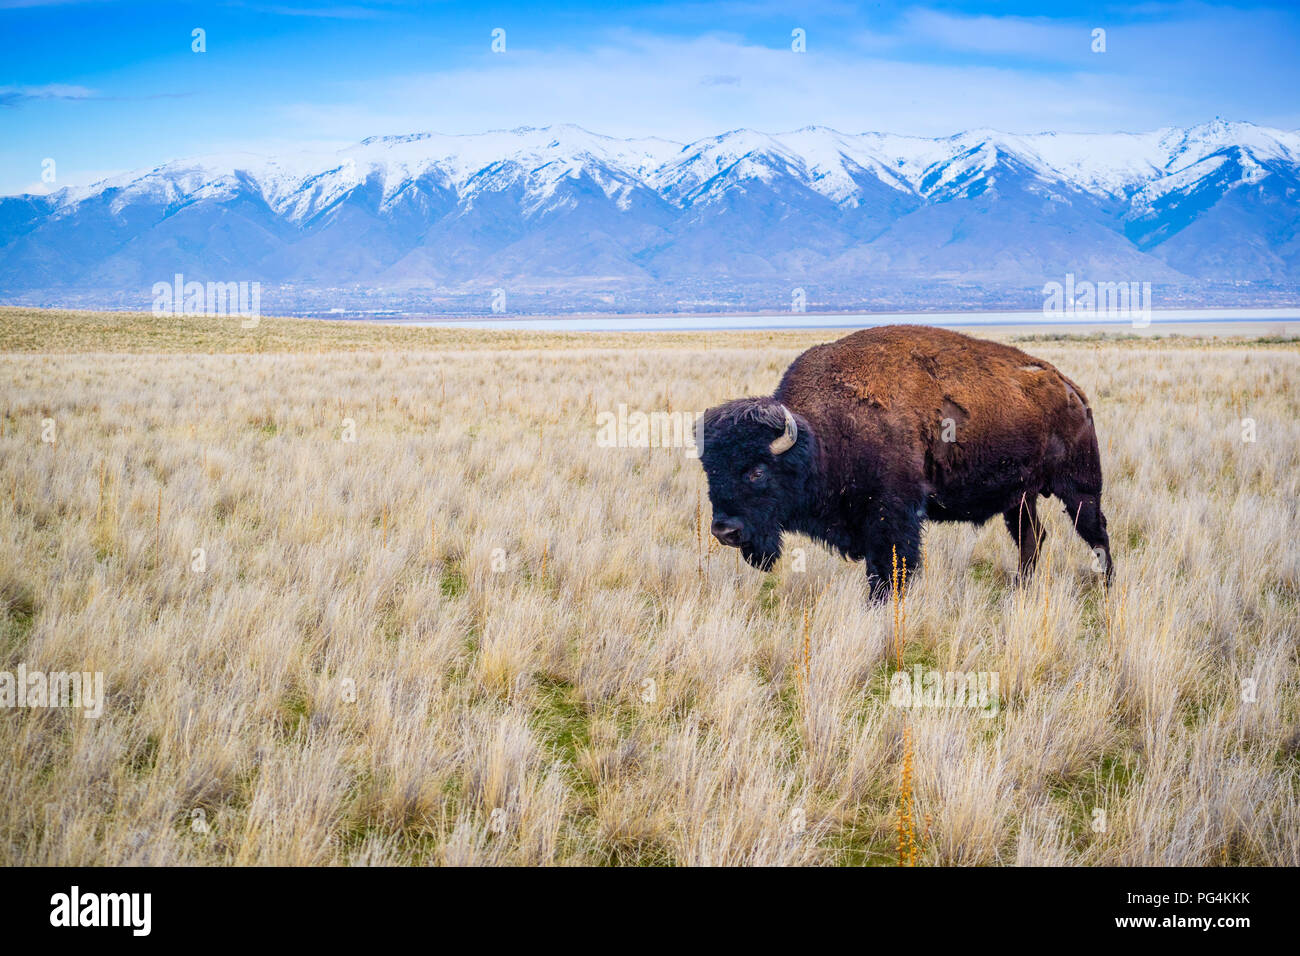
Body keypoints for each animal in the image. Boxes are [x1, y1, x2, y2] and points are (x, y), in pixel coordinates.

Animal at [699, 325, 1112, 598]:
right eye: (711, 473)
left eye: (757, 471)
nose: (724, 531)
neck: (819, 436)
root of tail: (1071, 390)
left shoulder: (893, 516)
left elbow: (891, 568)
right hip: (1020, 498)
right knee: (1032, 537)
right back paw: (1020, 588)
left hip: (1079, 487)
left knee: (1096, 533)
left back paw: (1106, 585)